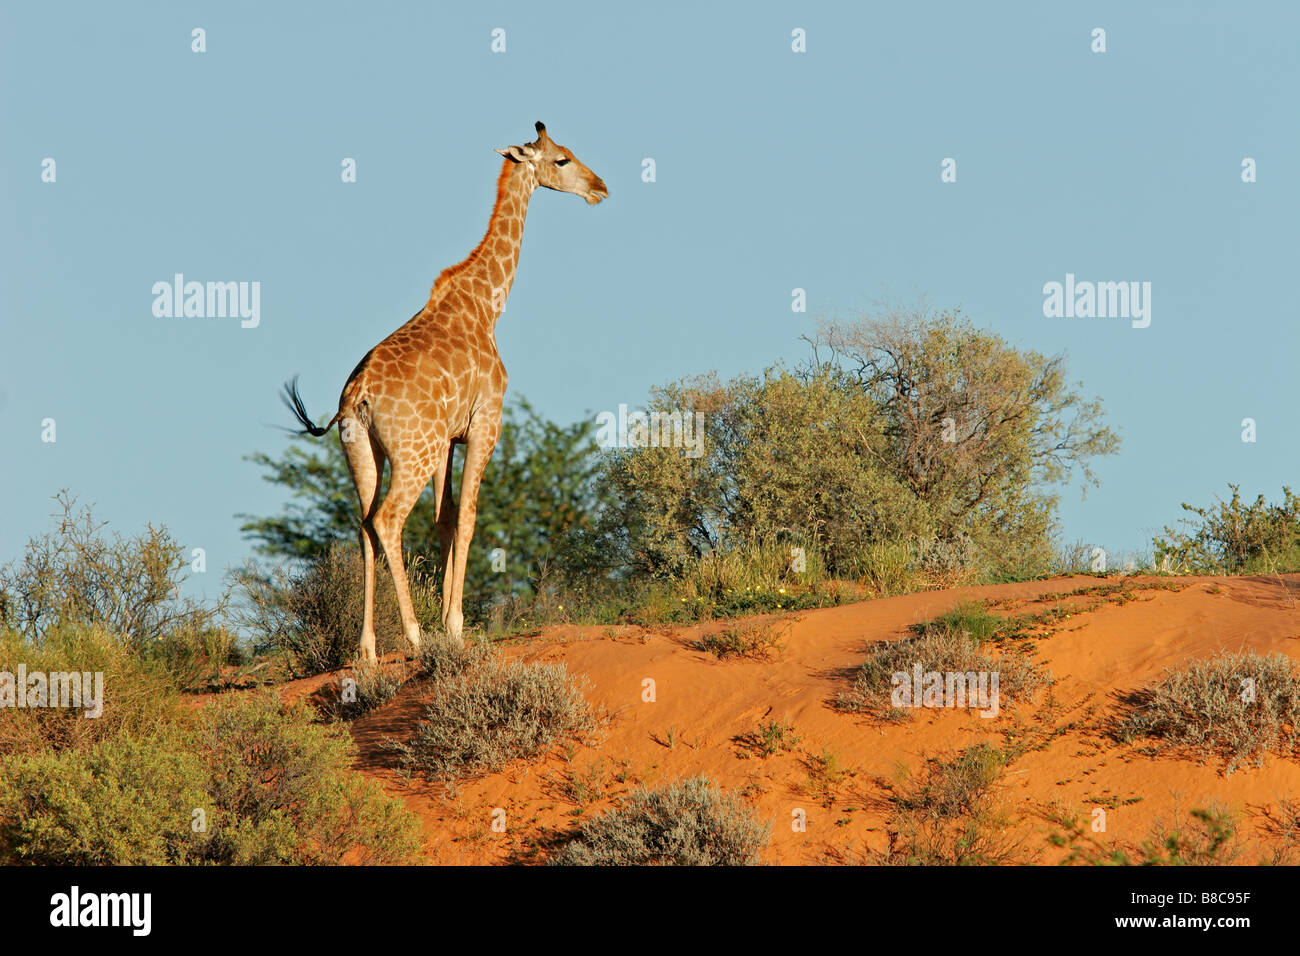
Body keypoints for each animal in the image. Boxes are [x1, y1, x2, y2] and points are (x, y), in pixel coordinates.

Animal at [283, 121, 607, 662]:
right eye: (561, 159)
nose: (600, 187)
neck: (488, 302)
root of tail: (358, 396)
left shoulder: (447, 441)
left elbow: (444, 519)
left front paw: (446, 620)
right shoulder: (484, 423)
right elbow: (471, 516)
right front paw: (453, 626)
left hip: (365, 451)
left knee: (363, 524)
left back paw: (368, 648)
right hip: (413, 452)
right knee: (387, 520)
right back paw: (413, 635)